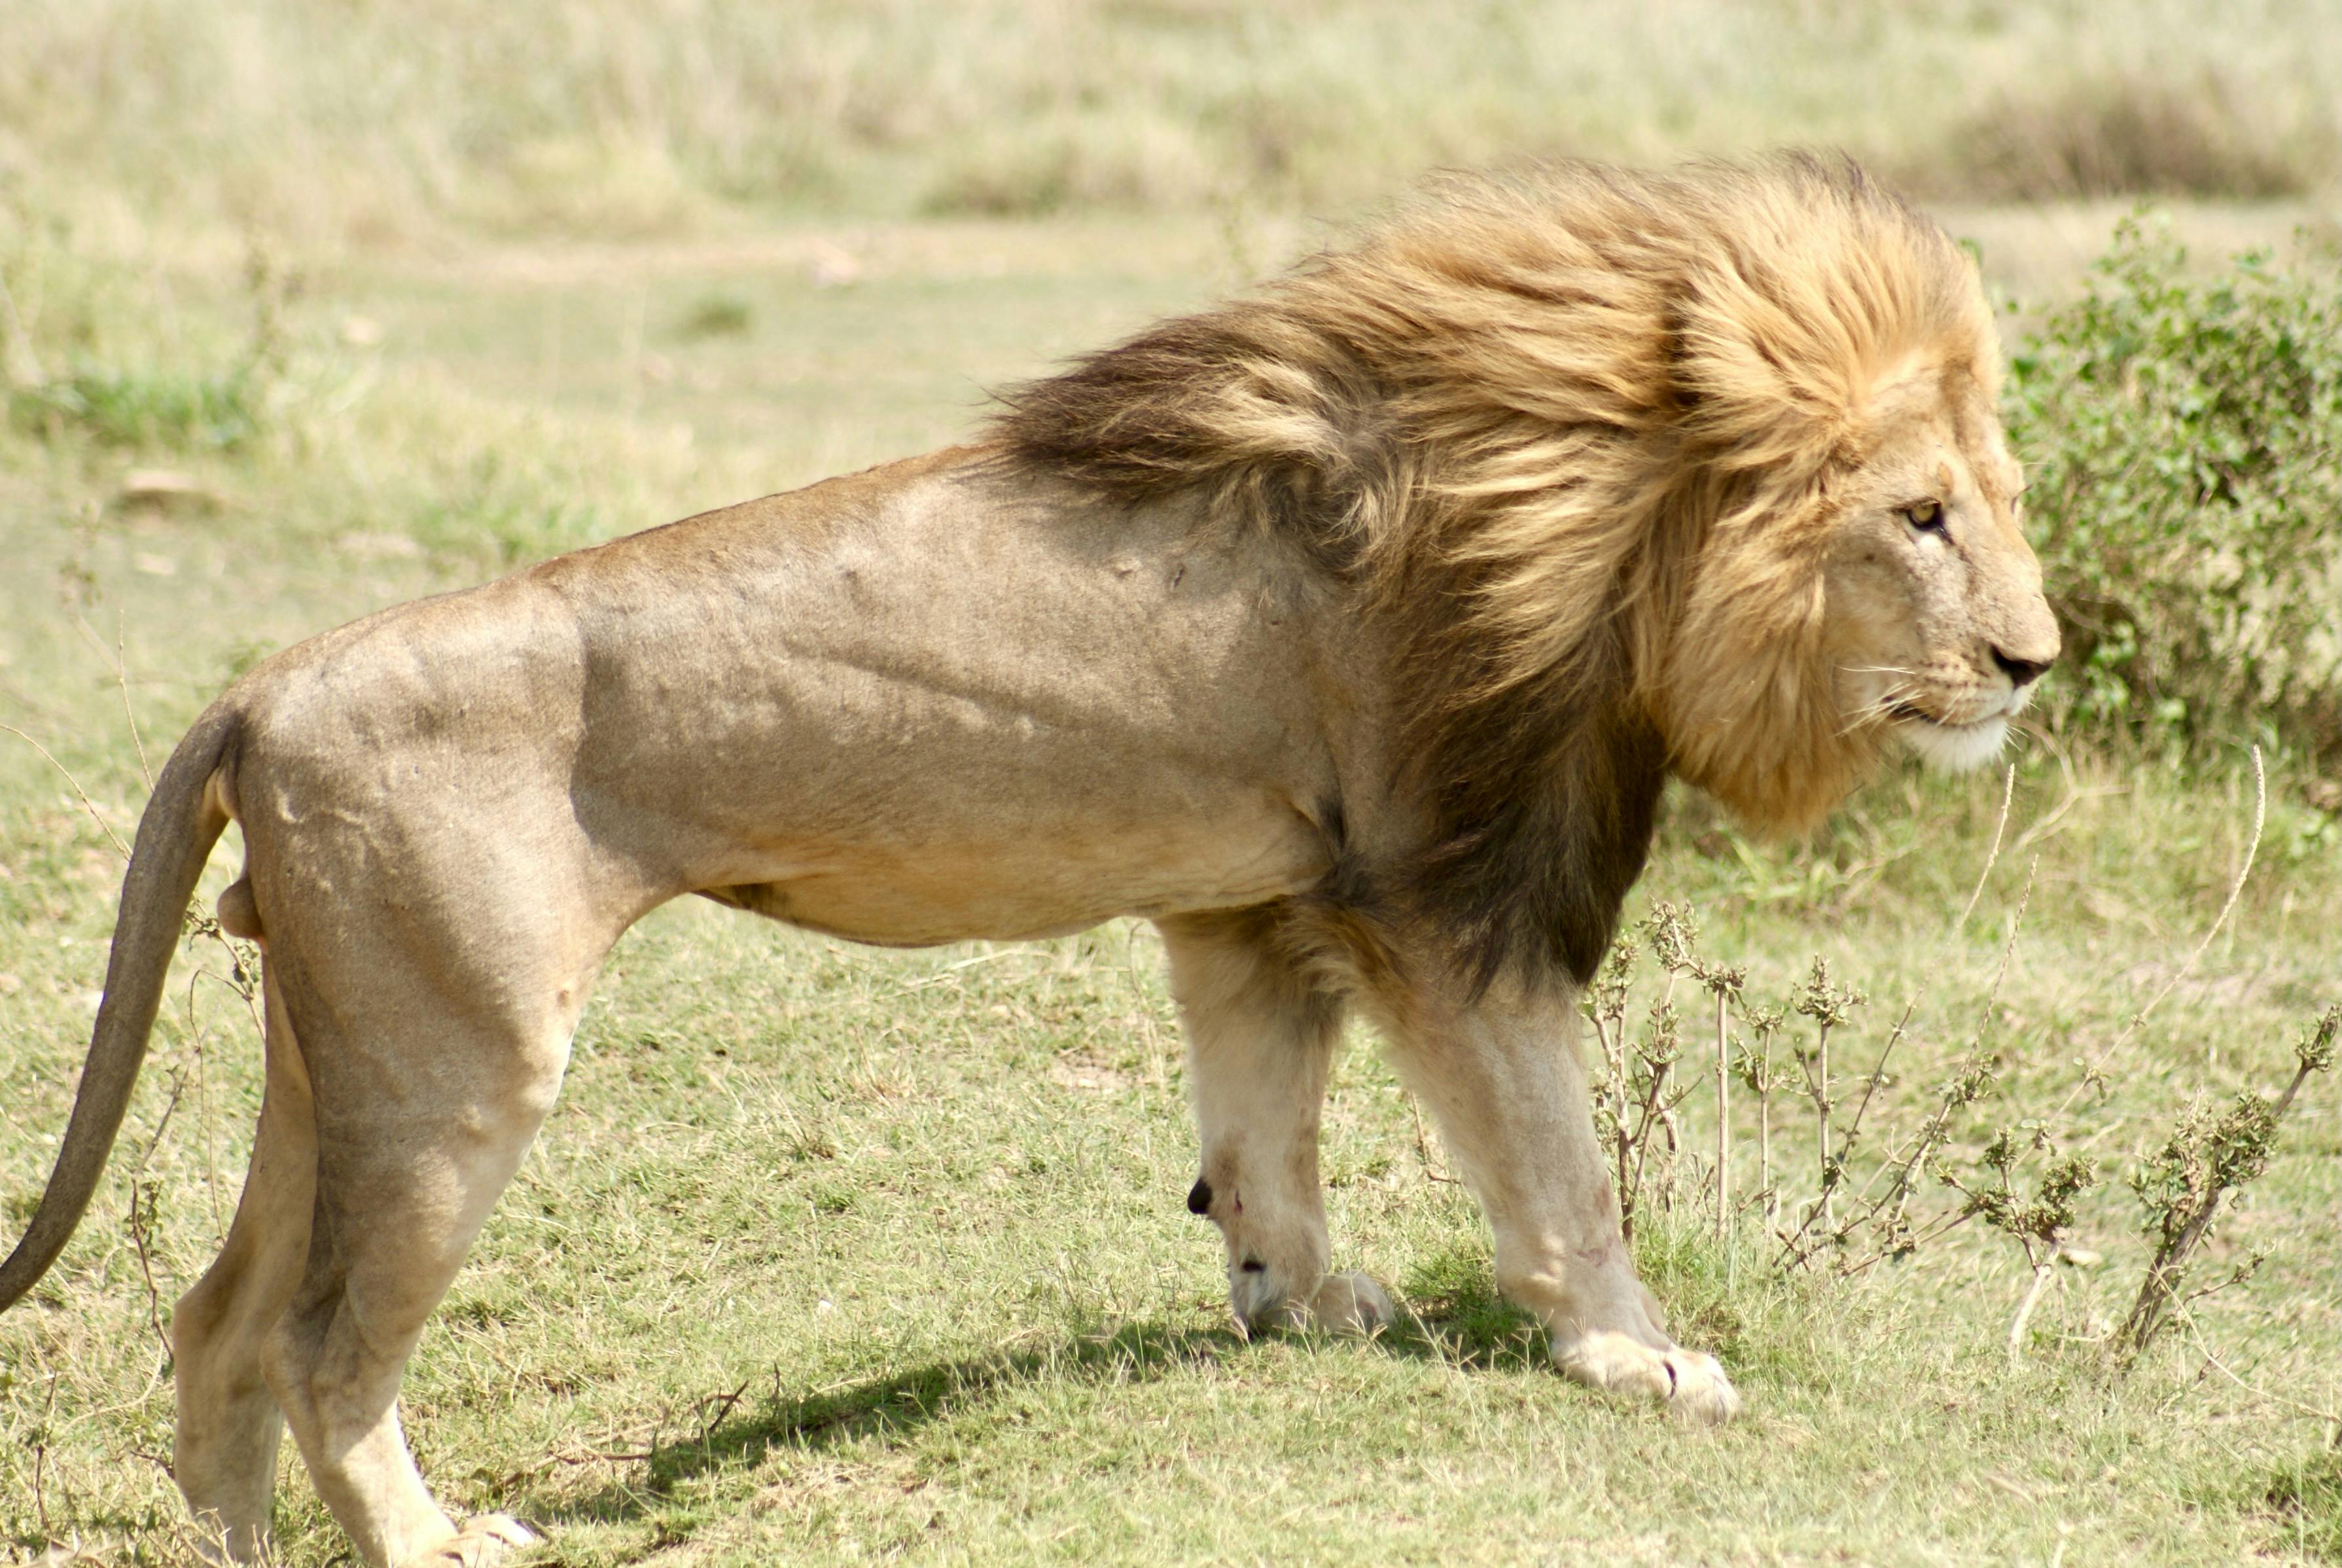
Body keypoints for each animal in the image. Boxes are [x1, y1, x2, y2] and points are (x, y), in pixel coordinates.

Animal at [0, 155, 2056, 1566]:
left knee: (221, 1319)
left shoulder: (1259, 894)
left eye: (1999, 505)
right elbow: (1557, 1163)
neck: (1572, 509)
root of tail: (265, 684)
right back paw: (432, 1538)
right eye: (1918, 518)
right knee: (325, 1346)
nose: (2035, 662)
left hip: (336, 1043)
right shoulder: (1434, 894)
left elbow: (1266, 1128)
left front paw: (1302, 1305)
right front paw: (1637, 1360)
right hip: (462, 1066)